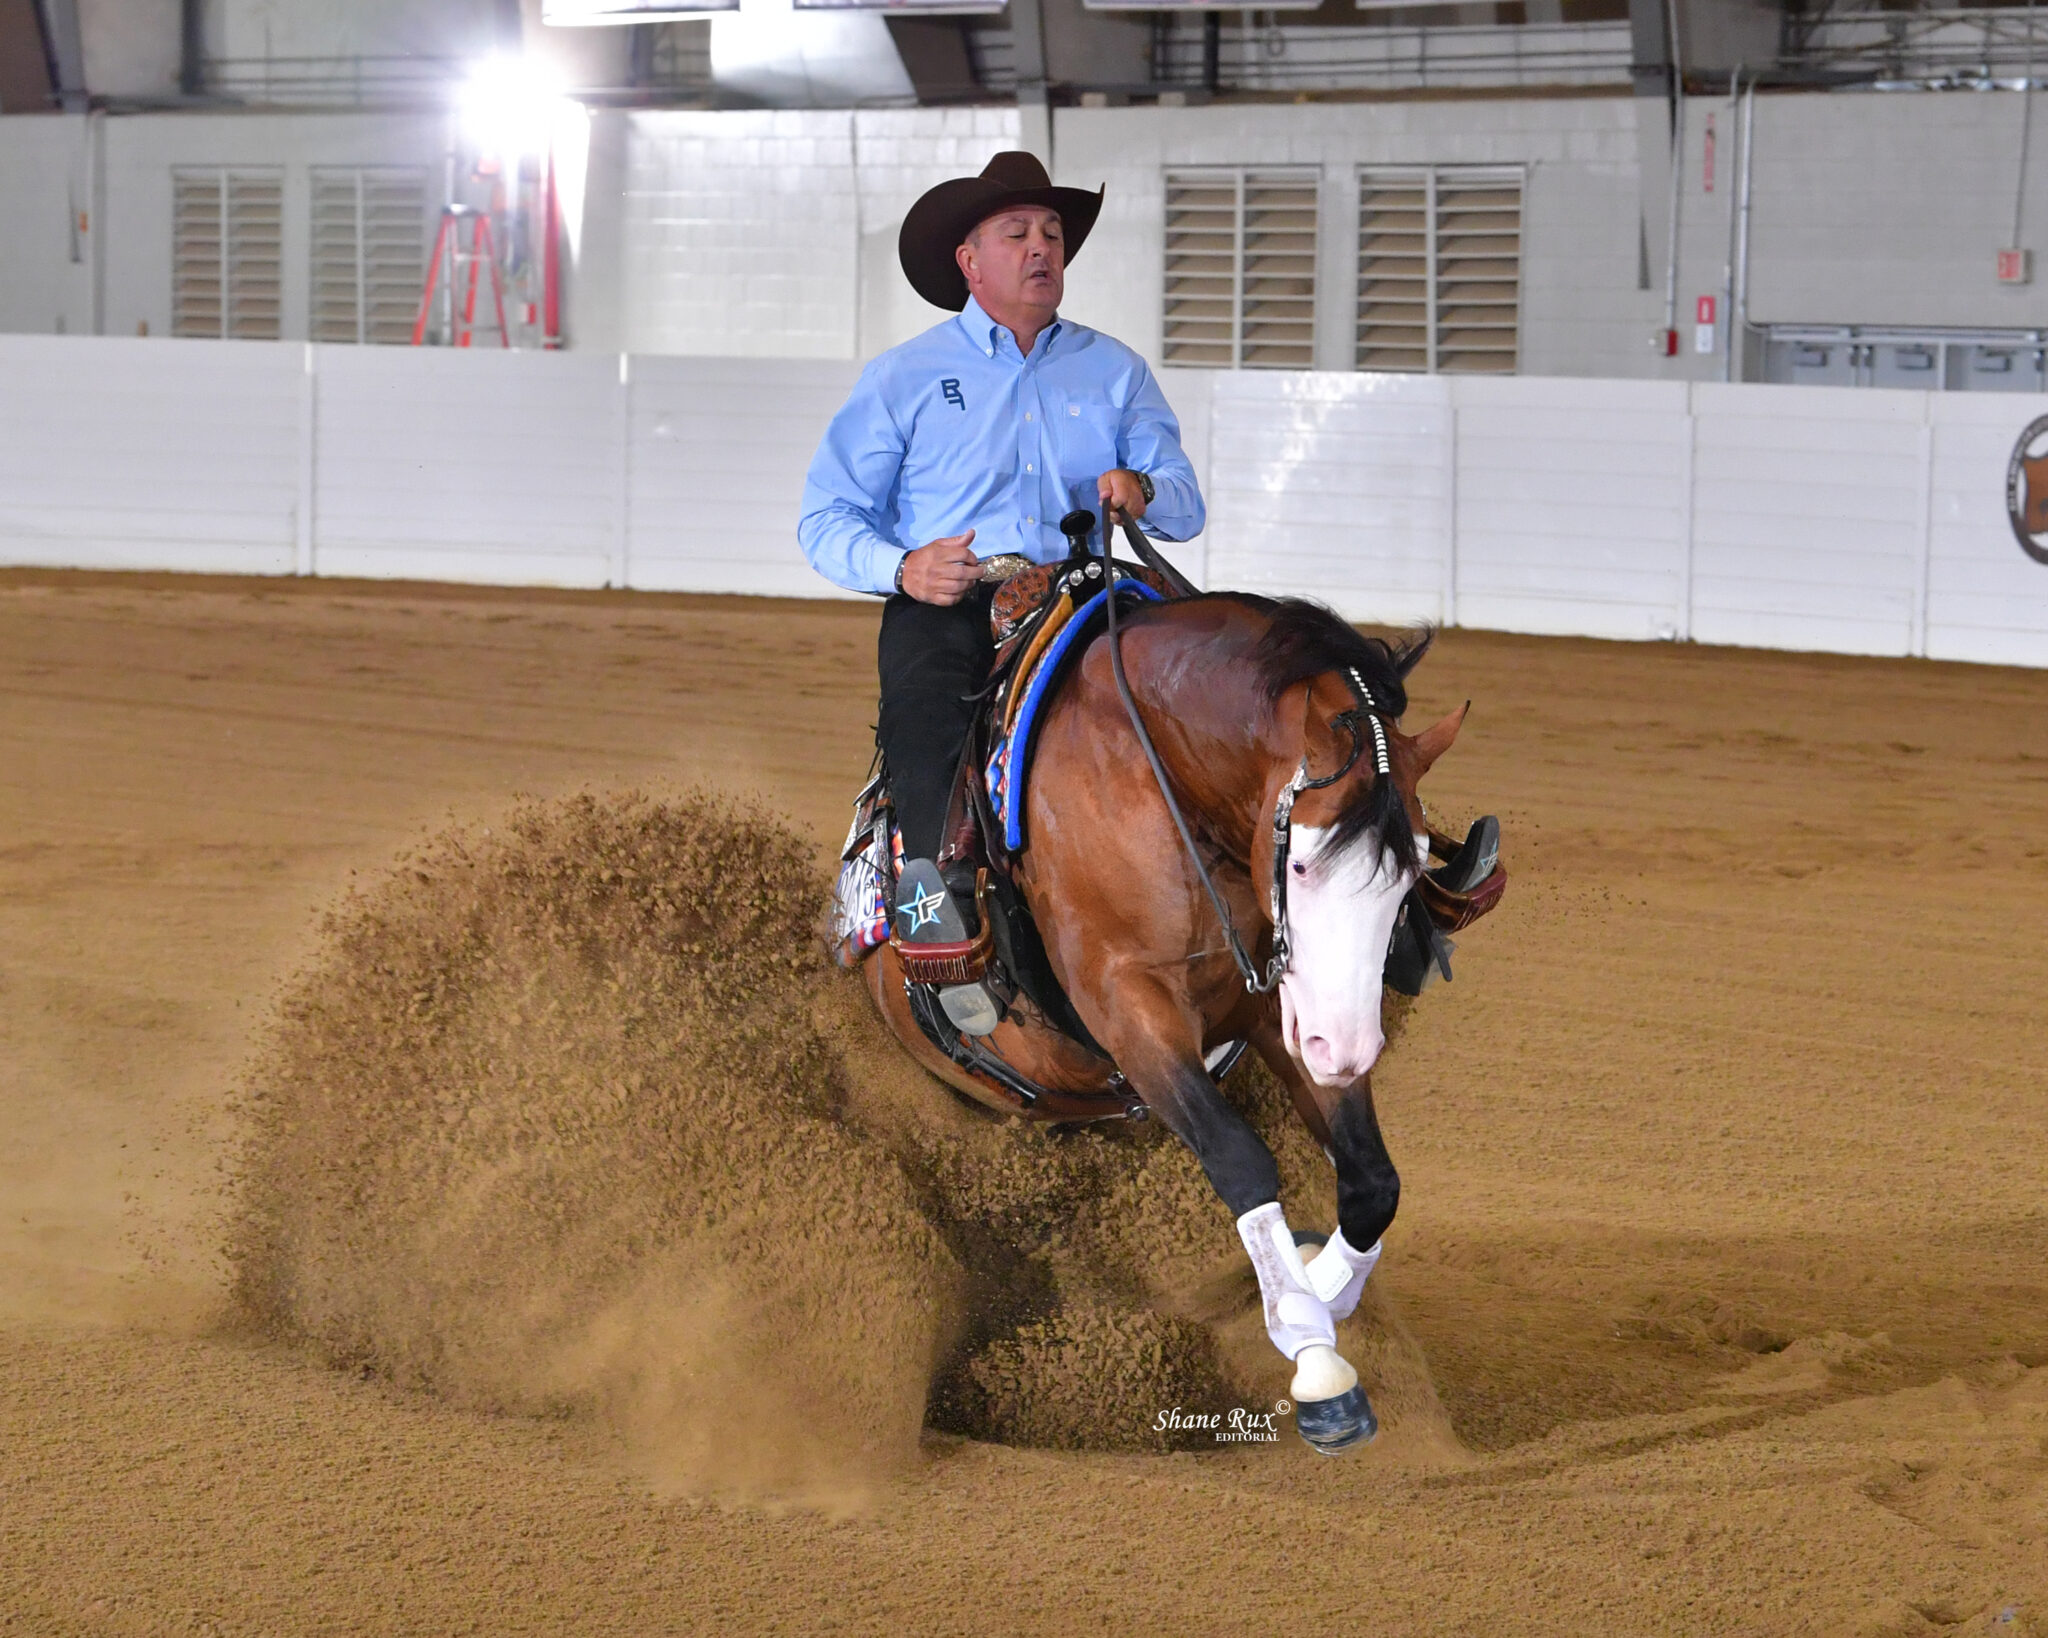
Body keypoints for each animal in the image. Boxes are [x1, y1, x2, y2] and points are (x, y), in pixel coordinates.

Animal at [860, 579, 1479, 1455]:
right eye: (1300, 863)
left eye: (1412, 869)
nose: (1348, 1048)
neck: (1157, 777)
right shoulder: (1132, 1008)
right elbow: (1240, 1159)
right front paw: (1315, 1358)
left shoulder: (1282, 1006)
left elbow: (1371, 1181)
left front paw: (1318, 1286)